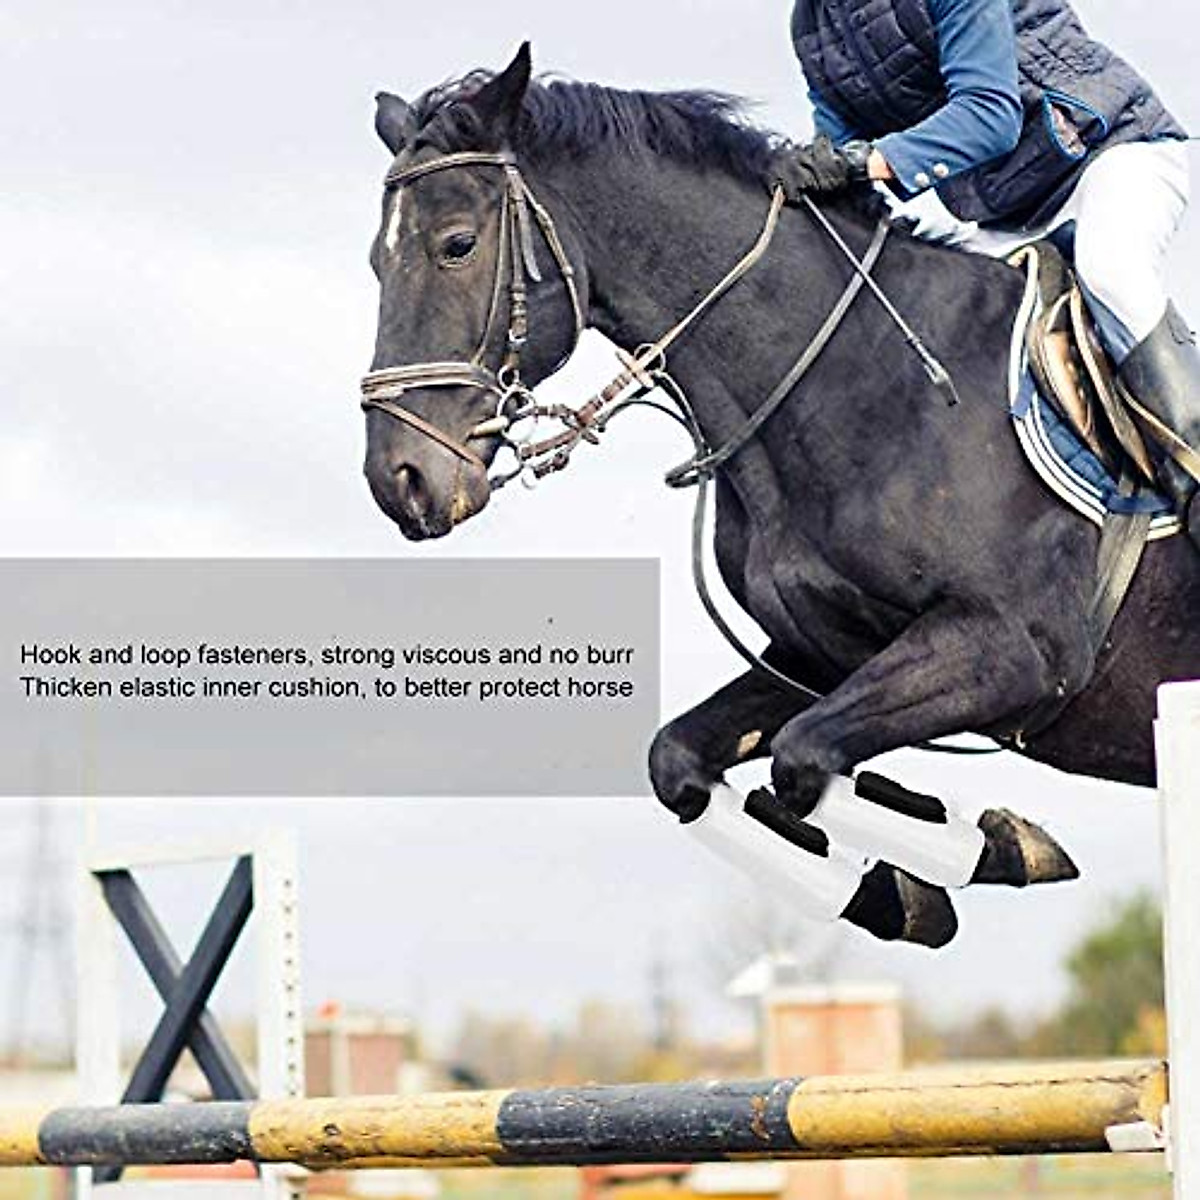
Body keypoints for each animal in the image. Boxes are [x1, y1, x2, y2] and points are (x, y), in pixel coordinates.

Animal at [359, 45, 1200, 945]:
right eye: (377, 262)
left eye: (456, 245)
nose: (401, 481)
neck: (856, 379)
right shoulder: (817, 655)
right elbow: (690, 761)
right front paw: (922, 880)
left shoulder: (1014, 649)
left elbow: (803, 758)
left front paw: (980, 850)